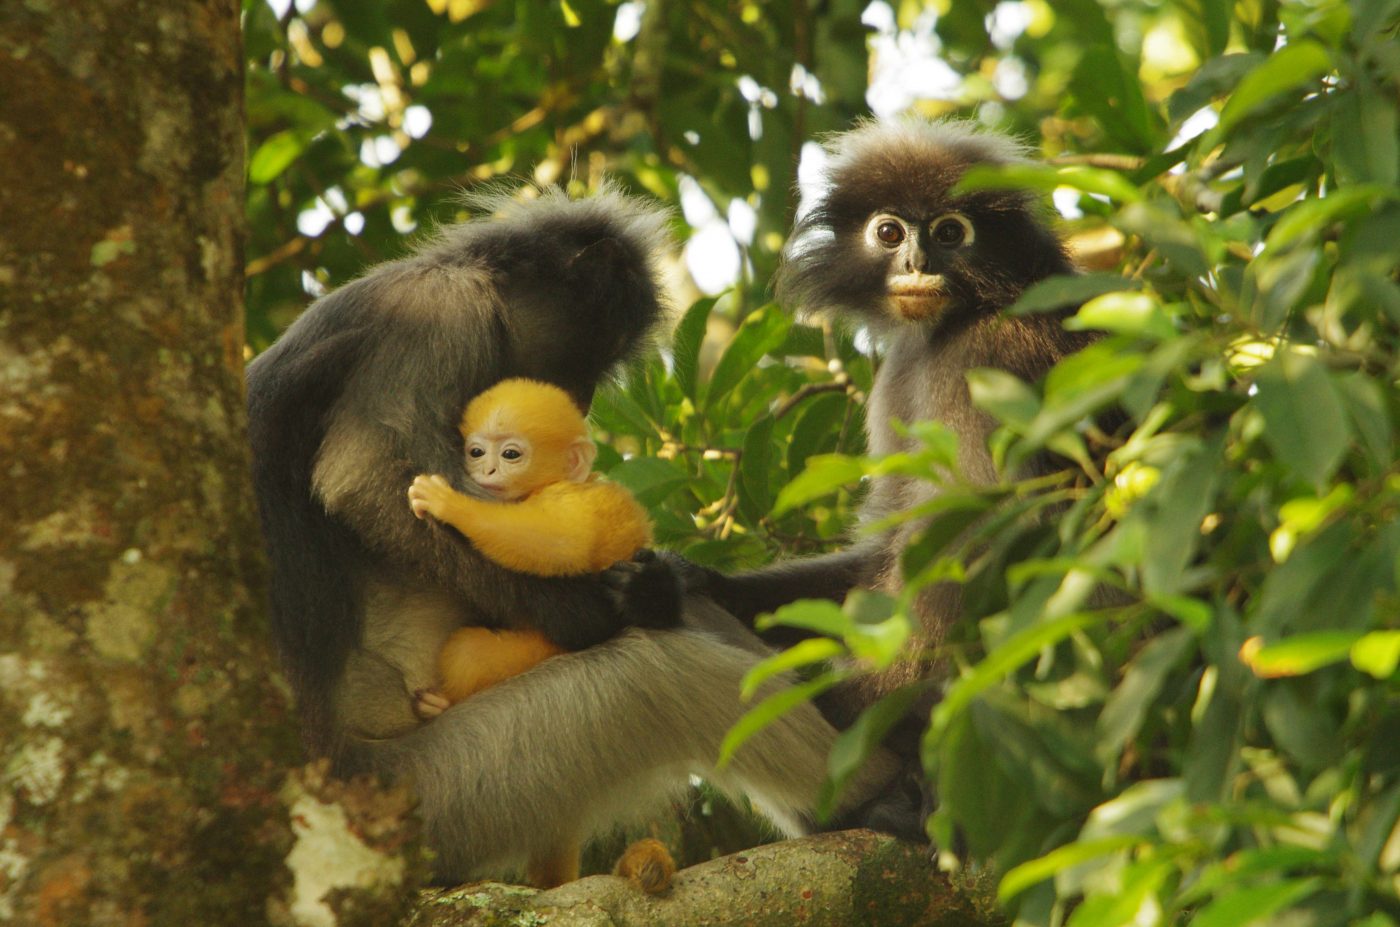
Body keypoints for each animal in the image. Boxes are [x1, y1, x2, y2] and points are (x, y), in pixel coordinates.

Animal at [406, 377, 653, 711]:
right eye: (476, 452)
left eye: (510, 455)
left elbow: (556, 542)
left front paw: (449, 504)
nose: (488, 470)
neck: (553, 483)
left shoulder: (574, 502)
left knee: (468, 654)